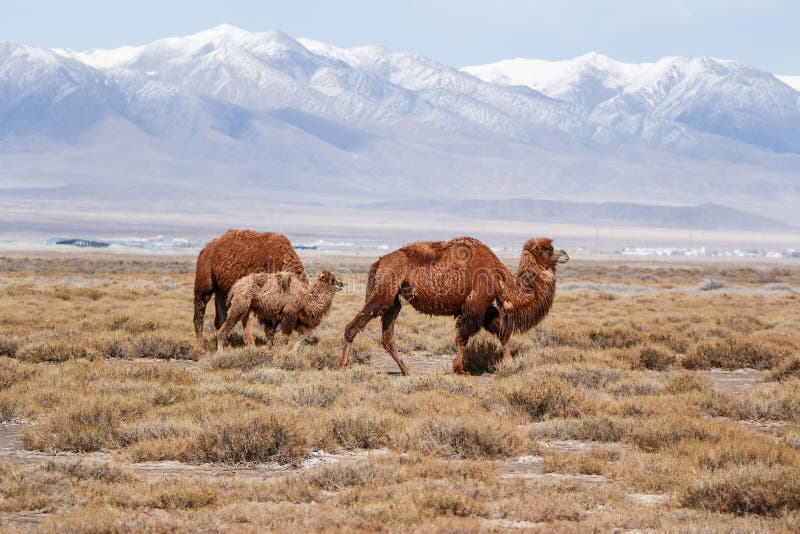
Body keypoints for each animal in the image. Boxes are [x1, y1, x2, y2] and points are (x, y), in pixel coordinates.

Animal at [341, 236, 568, 375]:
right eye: (547, 249)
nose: (565, 254)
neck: (500, 277)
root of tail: (379, 262)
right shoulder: (476, 301)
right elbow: (463, 336)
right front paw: (460, 369)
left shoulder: (485, 307)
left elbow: (501, 332)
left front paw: (509, 362)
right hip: (385, 290)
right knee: (354, 325)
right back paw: (343, 365)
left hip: (394, 298)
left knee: (387, 336)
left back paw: (406, 370)